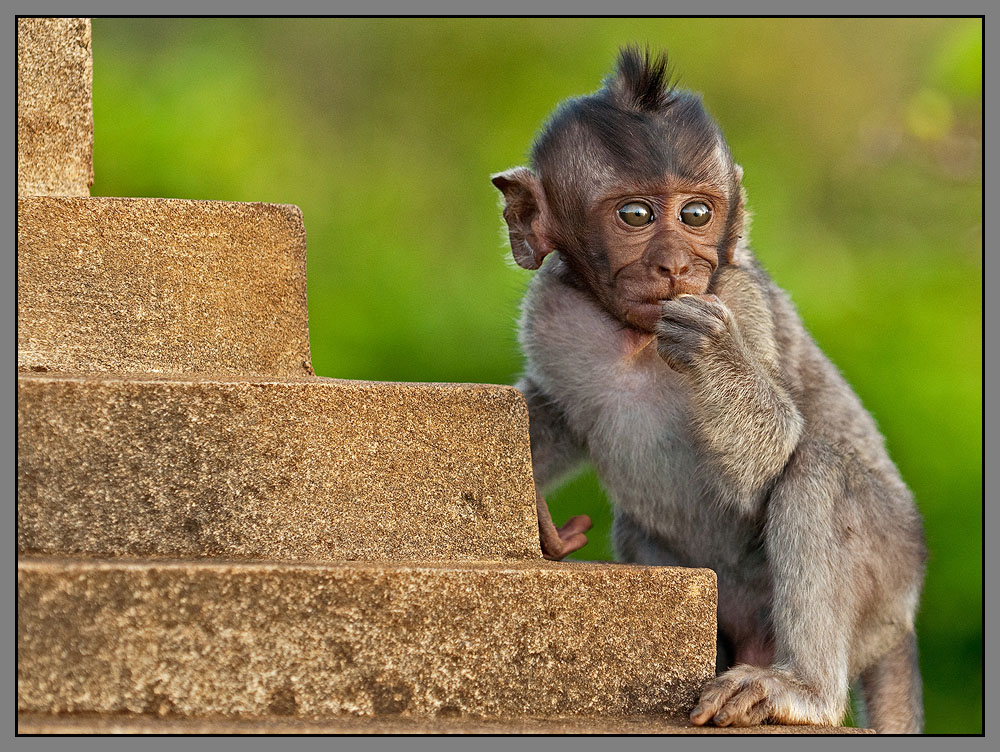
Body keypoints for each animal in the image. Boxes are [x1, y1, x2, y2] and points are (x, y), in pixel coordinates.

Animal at [491, 47, 926, 733]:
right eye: (636, 215)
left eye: (696, 214)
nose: (676, 265)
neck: (637, 340)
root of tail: (901, 623)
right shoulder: (551, 314)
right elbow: (552, 413)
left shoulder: (739, 302)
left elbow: (765, 467)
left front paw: (713, 352)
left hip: (888, 573)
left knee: (819, 468)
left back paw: (801, 690)